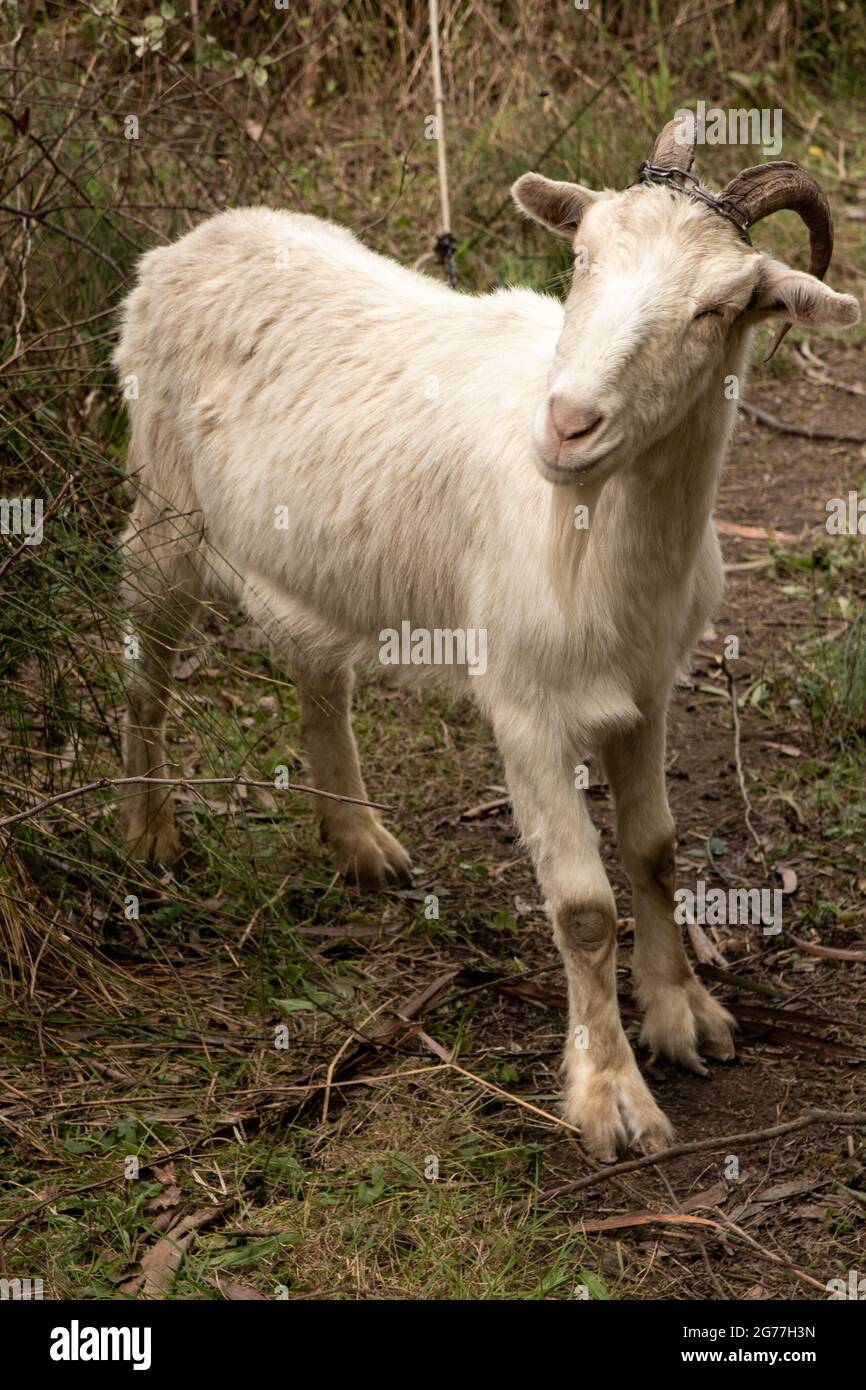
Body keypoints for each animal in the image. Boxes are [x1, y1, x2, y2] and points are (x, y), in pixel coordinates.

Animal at [115, 116, 859, 1160]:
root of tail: (194, 240)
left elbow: (657, 851)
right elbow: (583, 908)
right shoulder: (526, 704)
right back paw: (149, 830)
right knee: (143, 665)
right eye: (582, 258)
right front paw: (610, 1099)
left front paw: (683, 1015)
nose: (569, 425)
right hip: (163, 510)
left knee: (316, 673)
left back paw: (357, 838)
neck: (602, 531)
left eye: (718, 308)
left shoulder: (647, 690)